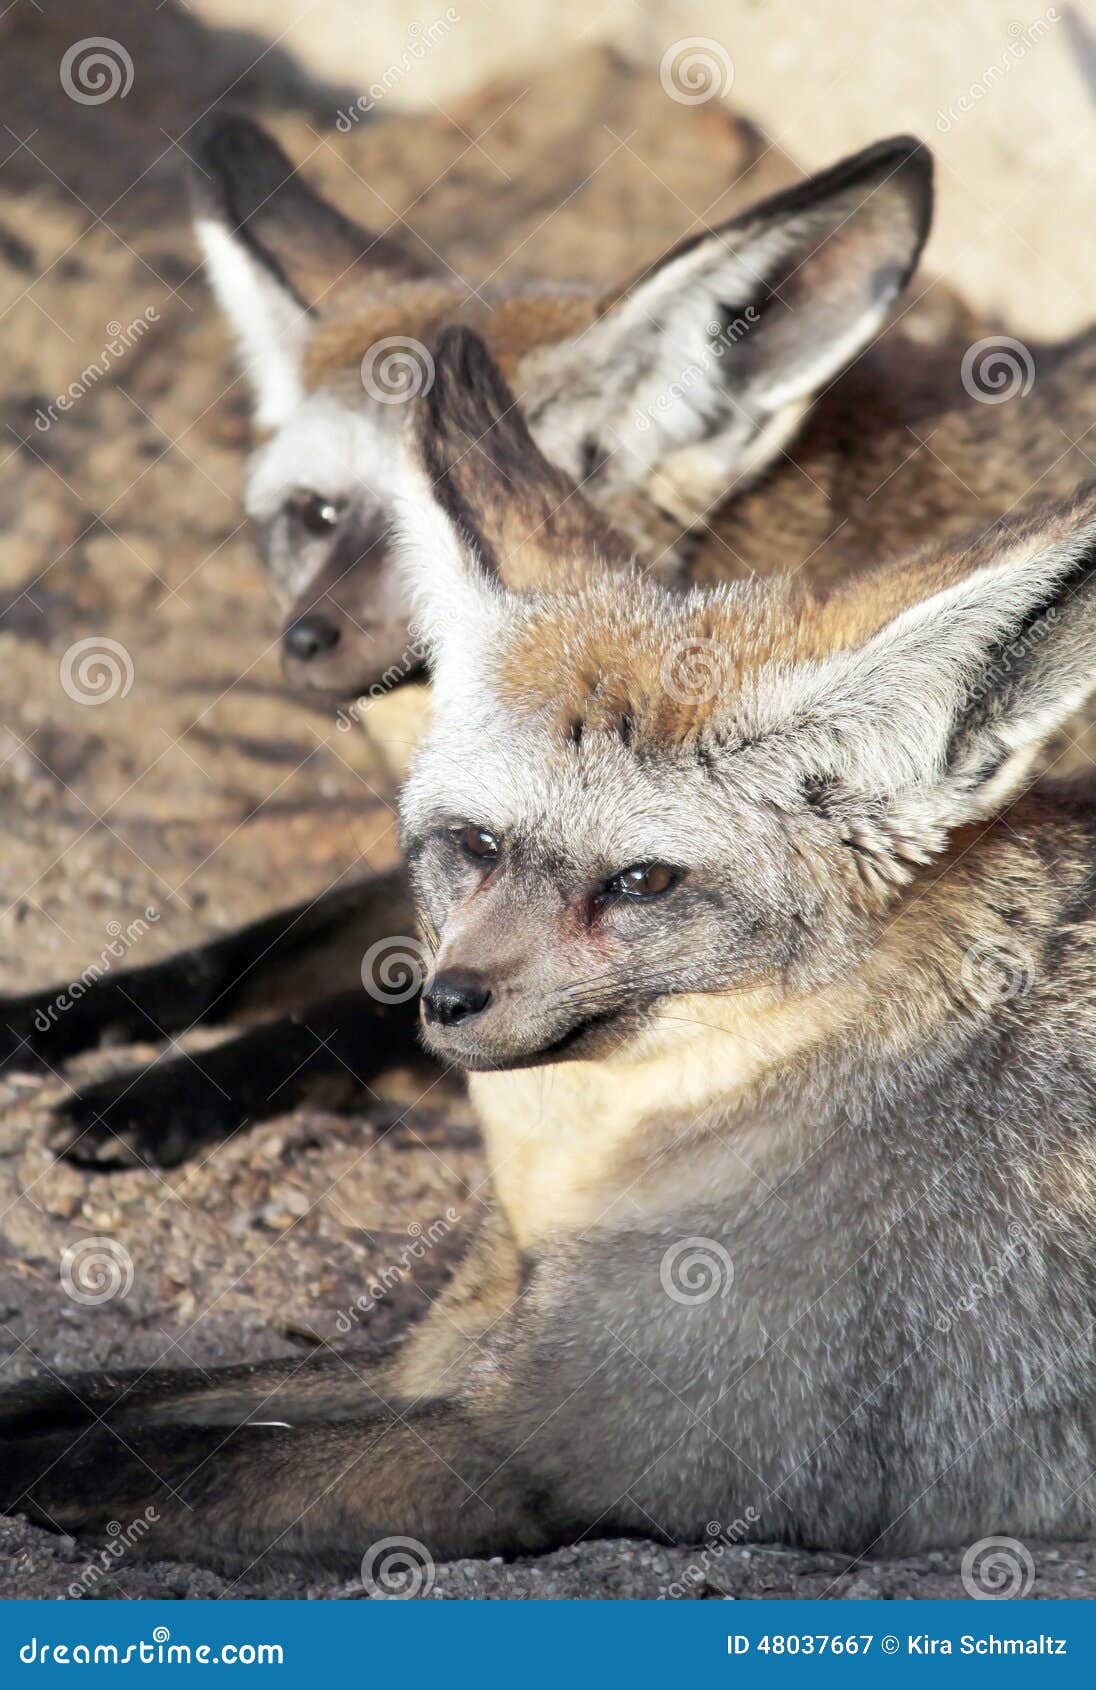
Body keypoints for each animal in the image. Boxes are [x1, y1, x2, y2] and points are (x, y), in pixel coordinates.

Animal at [4, 326, 1096, 1571]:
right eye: (476, 845)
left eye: (642, 882)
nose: (444, 1002)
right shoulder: (450, 1354)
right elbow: (96, 1391)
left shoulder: (577, 1448)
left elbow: (156, 1461)